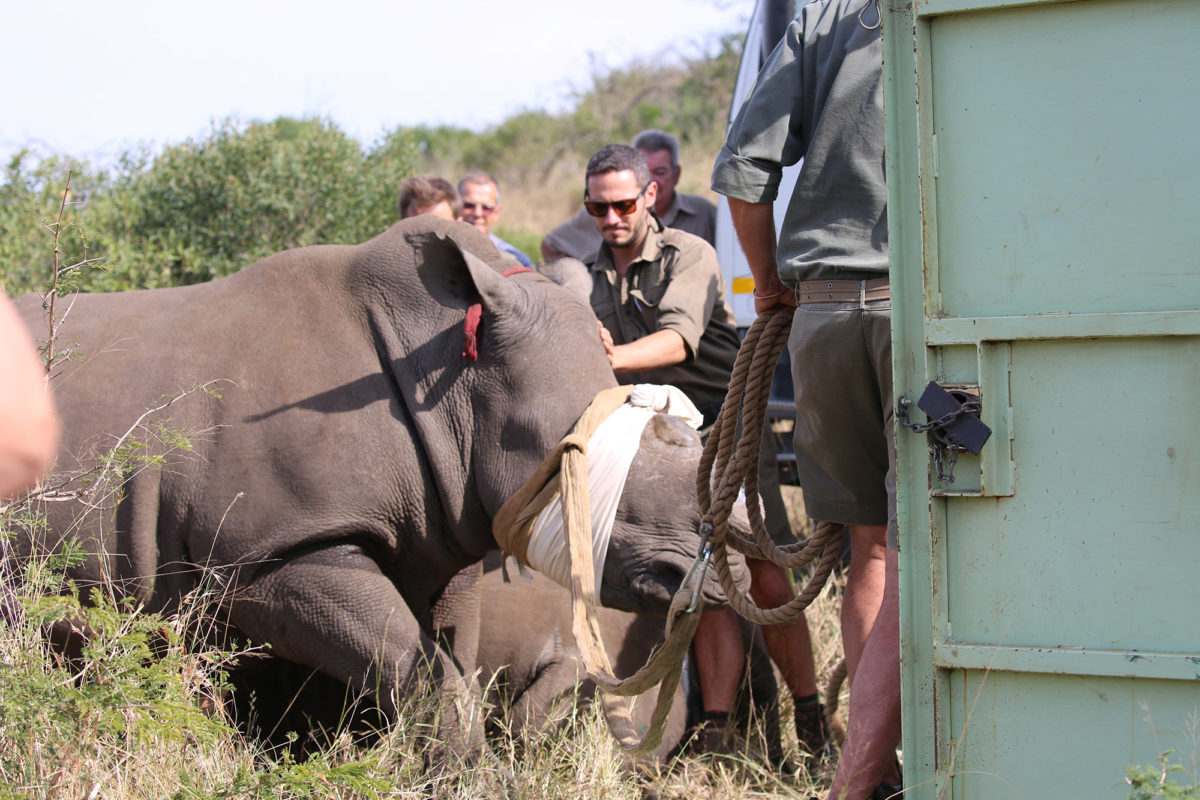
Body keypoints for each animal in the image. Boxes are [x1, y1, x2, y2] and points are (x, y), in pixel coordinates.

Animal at [11, 217, 741, 753]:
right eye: (582, 458)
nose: (707, 574)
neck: (450, 377)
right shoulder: (279, 550)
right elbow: (422, 670)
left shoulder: (444, 530)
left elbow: (448, 658)